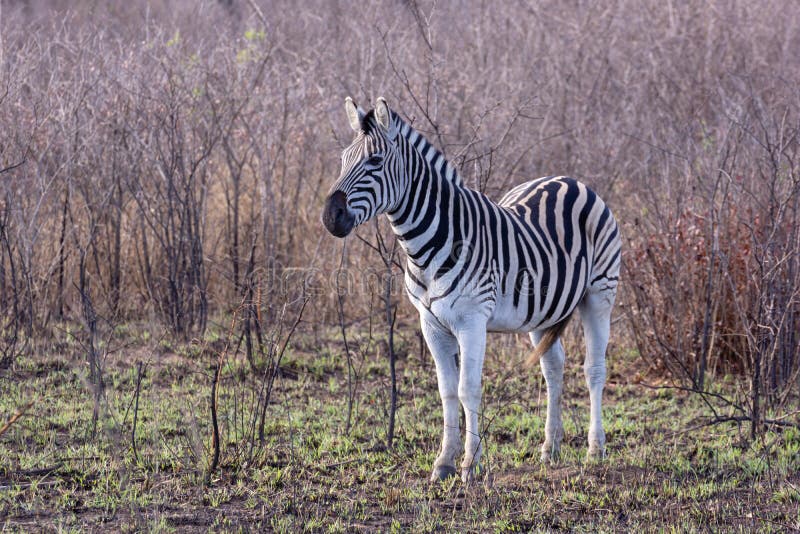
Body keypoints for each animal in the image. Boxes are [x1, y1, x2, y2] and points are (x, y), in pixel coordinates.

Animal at [322, 97, 621, 482]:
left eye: (375, 161)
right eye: (344, 159)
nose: (330, 217)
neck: (428, 245)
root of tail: (568, 179)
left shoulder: (472, 321)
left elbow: (468, 390)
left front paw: (469, 463)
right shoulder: (431, 324)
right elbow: (447, 392)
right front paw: (444, 462)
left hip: (599, 294)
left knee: (594, 369)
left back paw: (595, 449)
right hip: (543, 308)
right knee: (553, 367)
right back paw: (550, 448)